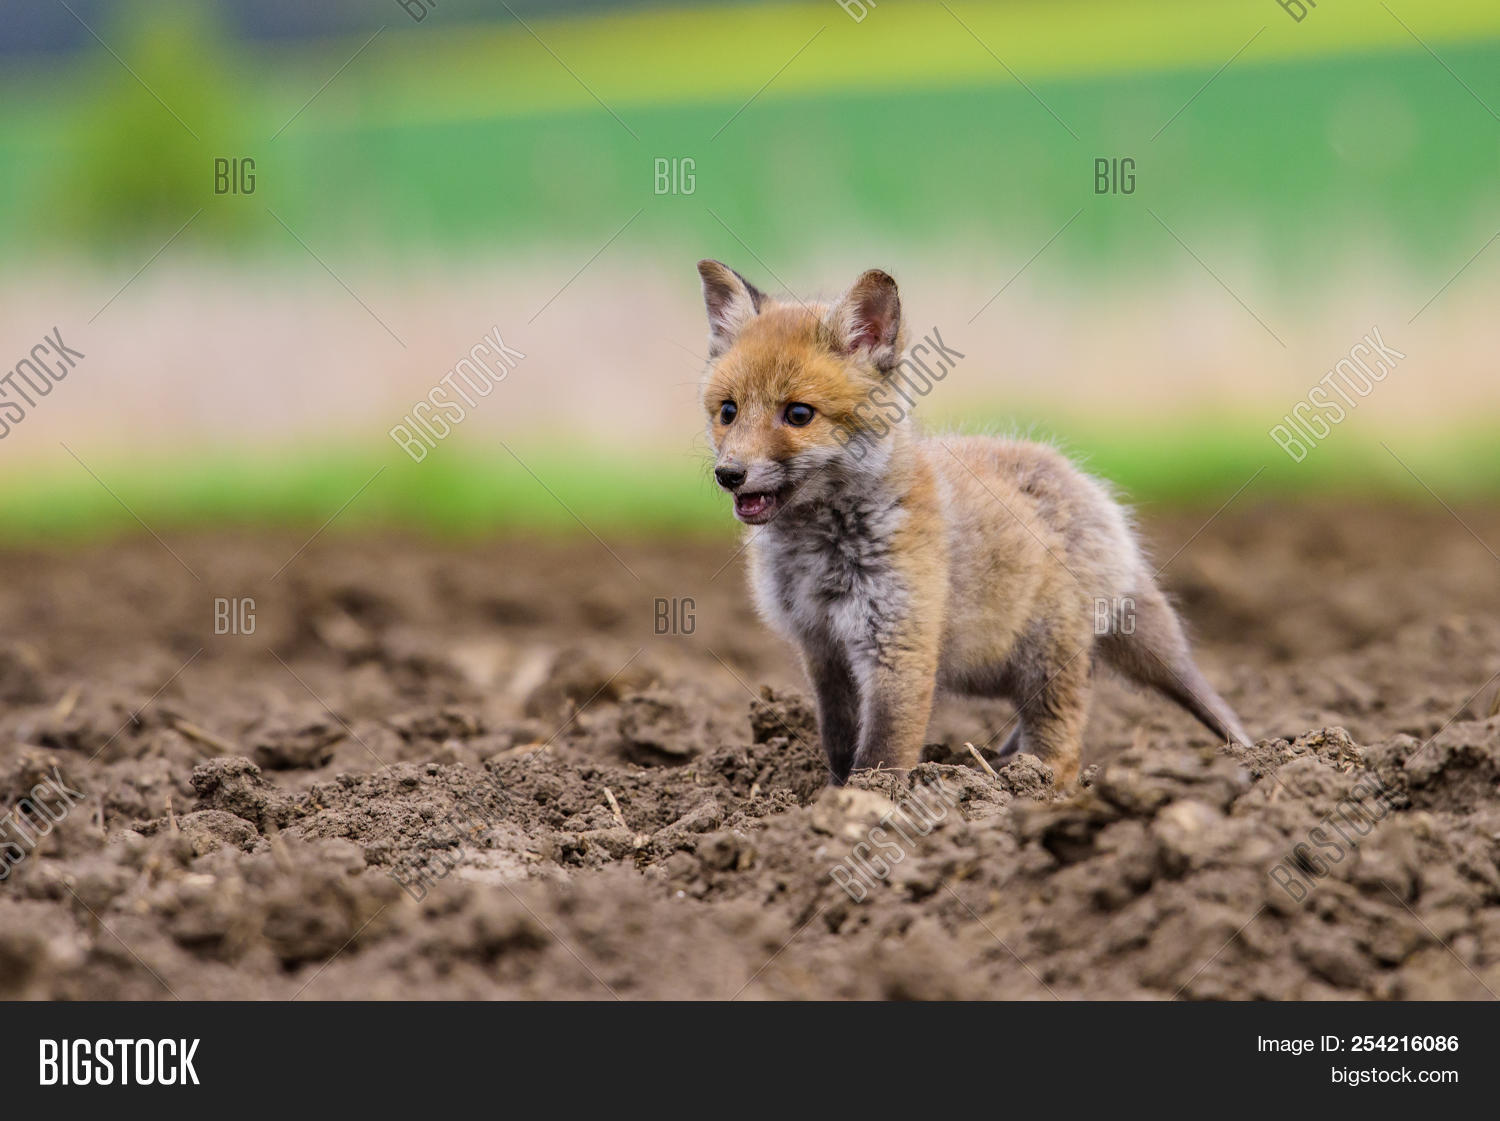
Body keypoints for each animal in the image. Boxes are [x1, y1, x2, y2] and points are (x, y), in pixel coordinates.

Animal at [696, 259, 1253, 787]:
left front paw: (867, 803)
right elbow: (838, 741)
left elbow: (881, 753)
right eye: (728, 411)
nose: (729, 474)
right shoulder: (822, 651)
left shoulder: (899, 647)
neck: (816, 550)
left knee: (1070, 744)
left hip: (1062, 658)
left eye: (798, 414)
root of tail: (1076, 477)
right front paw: (829, 798)